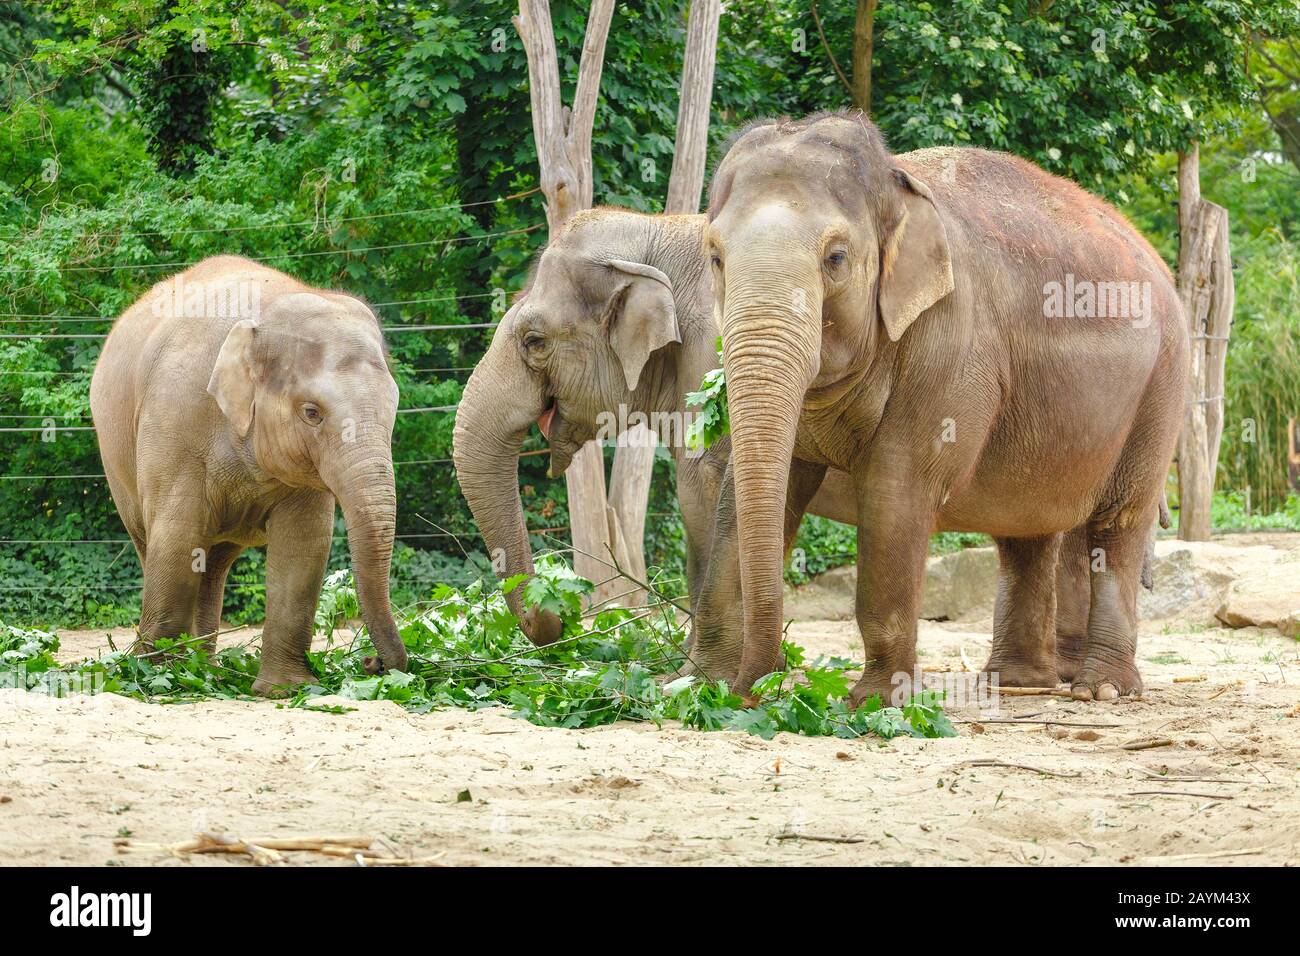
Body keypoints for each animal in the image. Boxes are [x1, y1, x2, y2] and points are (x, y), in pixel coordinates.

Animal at [90, 255, 408, 695]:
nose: (371, 662)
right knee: (158, 542)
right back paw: (186, 670)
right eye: (312, 412)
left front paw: (285, 689)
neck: (266, 312)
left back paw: (205, 668)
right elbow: (176, 535)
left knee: (212, 566)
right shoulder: (173, 419)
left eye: (394, 407)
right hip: (117, 463)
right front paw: (156, 679)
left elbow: (303, 545)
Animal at [698, 112, 1187, 705]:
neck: (895, 182)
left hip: (1163, 383)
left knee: (1117, 523)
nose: (763, 687)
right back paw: (1016, 683)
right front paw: (701, 685)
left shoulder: (952, 340)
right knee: (1025, 531)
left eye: (835, 258)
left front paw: (877, 702)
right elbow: (754, 488)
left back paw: (1102, 690)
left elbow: (897, 488)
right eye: (715, 257)